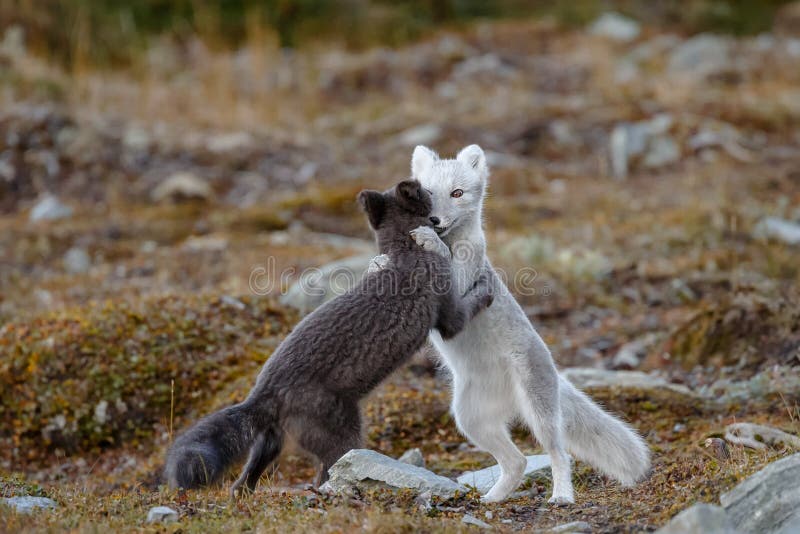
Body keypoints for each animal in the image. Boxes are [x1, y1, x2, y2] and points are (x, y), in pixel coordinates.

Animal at [164, 179, 494, 496]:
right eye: (428, 190)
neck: (408, 250)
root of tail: (263, 393)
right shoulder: (447, 314)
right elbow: (467, 307)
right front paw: (487, 286)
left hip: (271, 440)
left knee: (243, 481)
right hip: (341, 433)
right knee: (327, 473)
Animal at [388, 144, 651, 503]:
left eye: (457, 193)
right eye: (427, 193)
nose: (434, 220)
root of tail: (555, 373)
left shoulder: (462, 285)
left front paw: (431, 240)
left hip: (537, 411)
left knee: (559, 455)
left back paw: (561, 496)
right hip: (469, 418)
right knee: (518, 461)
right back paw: (492, 499)